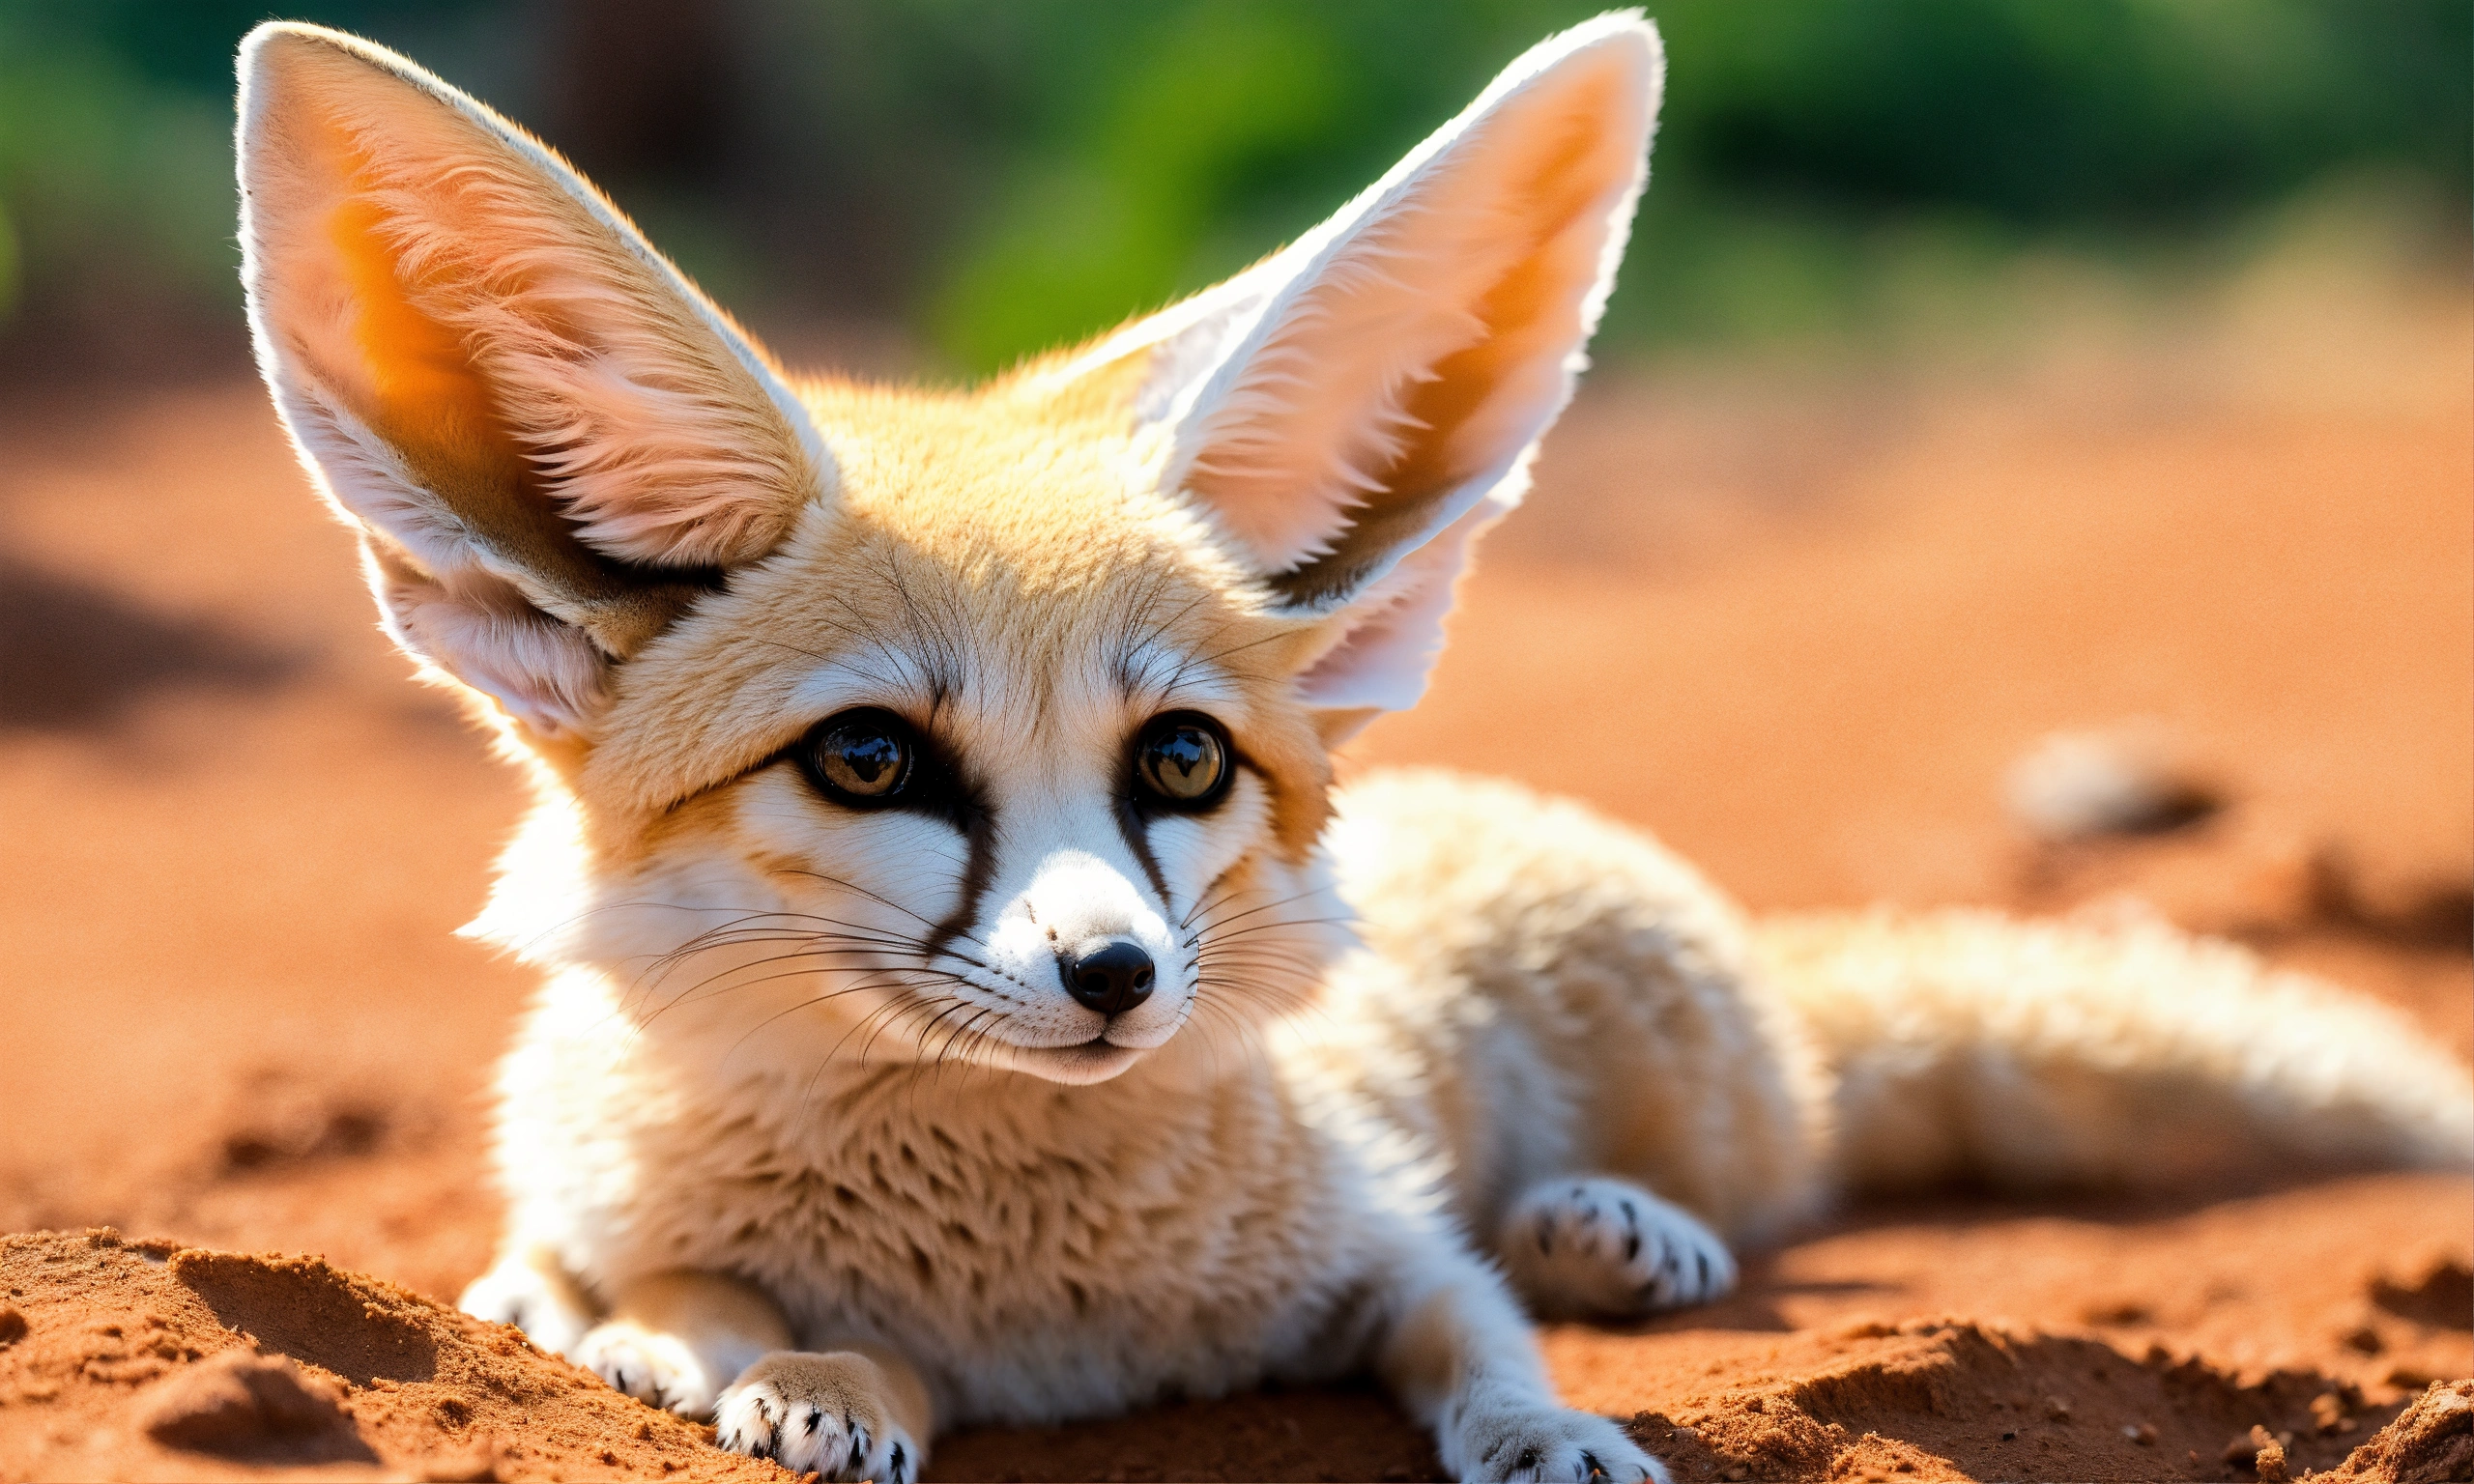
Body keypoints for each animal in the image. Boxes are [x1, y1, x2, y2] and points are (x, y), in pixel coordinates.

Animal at [232, 13, 2474, 1484]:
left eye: (1182, 763)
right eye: (868, 763)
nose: (1116, 974)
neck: (1026, 1290)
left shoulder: (1385, 1234)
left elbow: (1471, 1329)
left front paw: (1553, 1426)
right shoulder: (678, 1235)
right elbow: (720, 1315)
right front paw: (787, 1385)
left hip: (1709, 1091)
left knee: (1764, 1184)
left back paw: (1617, 1234)